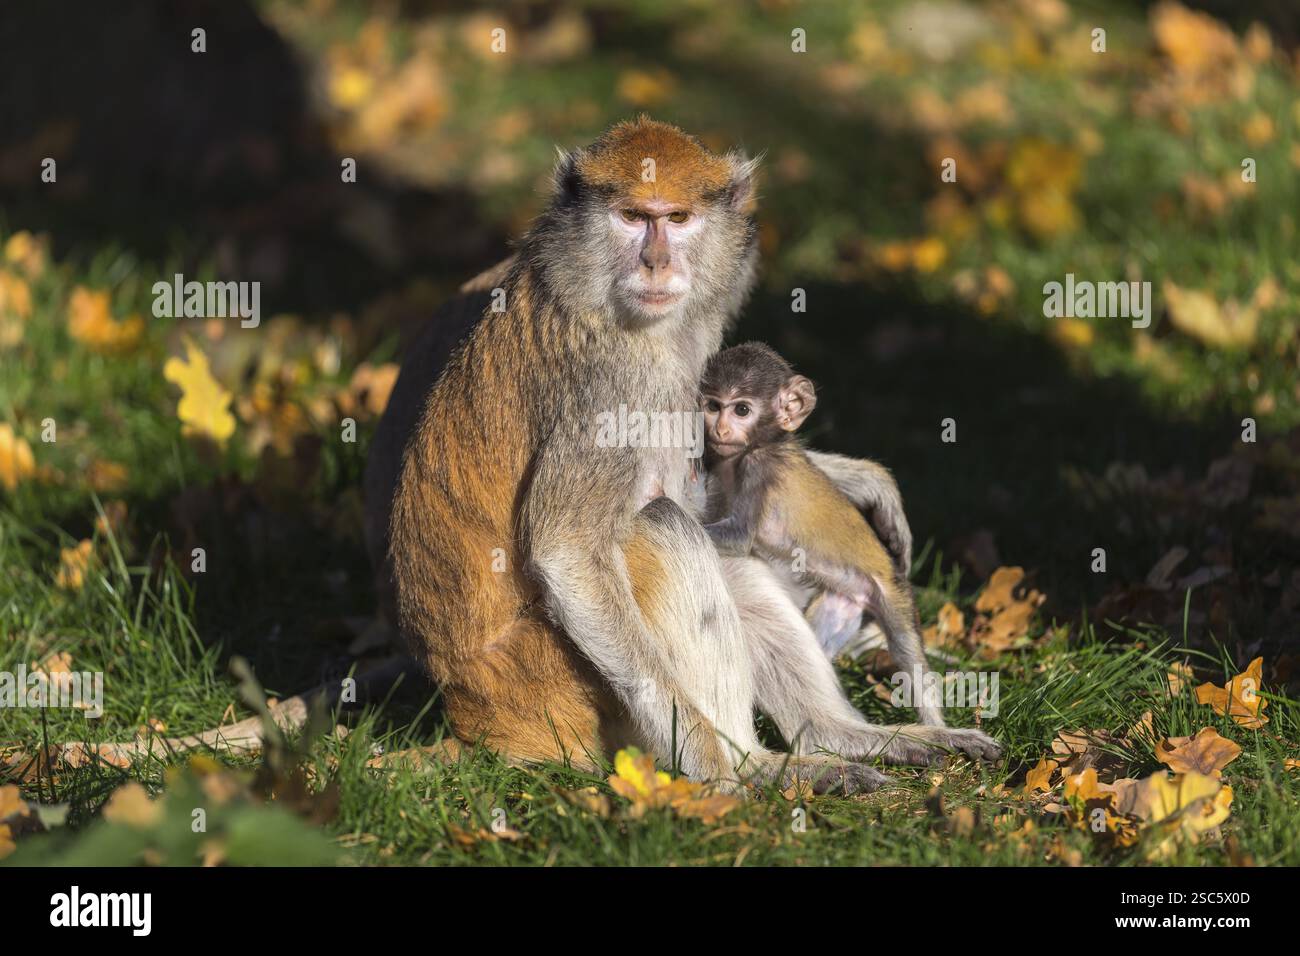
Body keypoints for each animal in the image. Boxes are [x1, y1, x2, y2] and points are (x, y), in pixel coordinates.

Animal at [698, 342, 945, 726]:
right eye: (713, 406)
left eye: (741, 409)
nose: (721, 430)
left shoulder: (760, 470)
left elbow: (739, 537)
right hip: (843, 602)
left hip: (894, 595)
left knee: (907, 649)